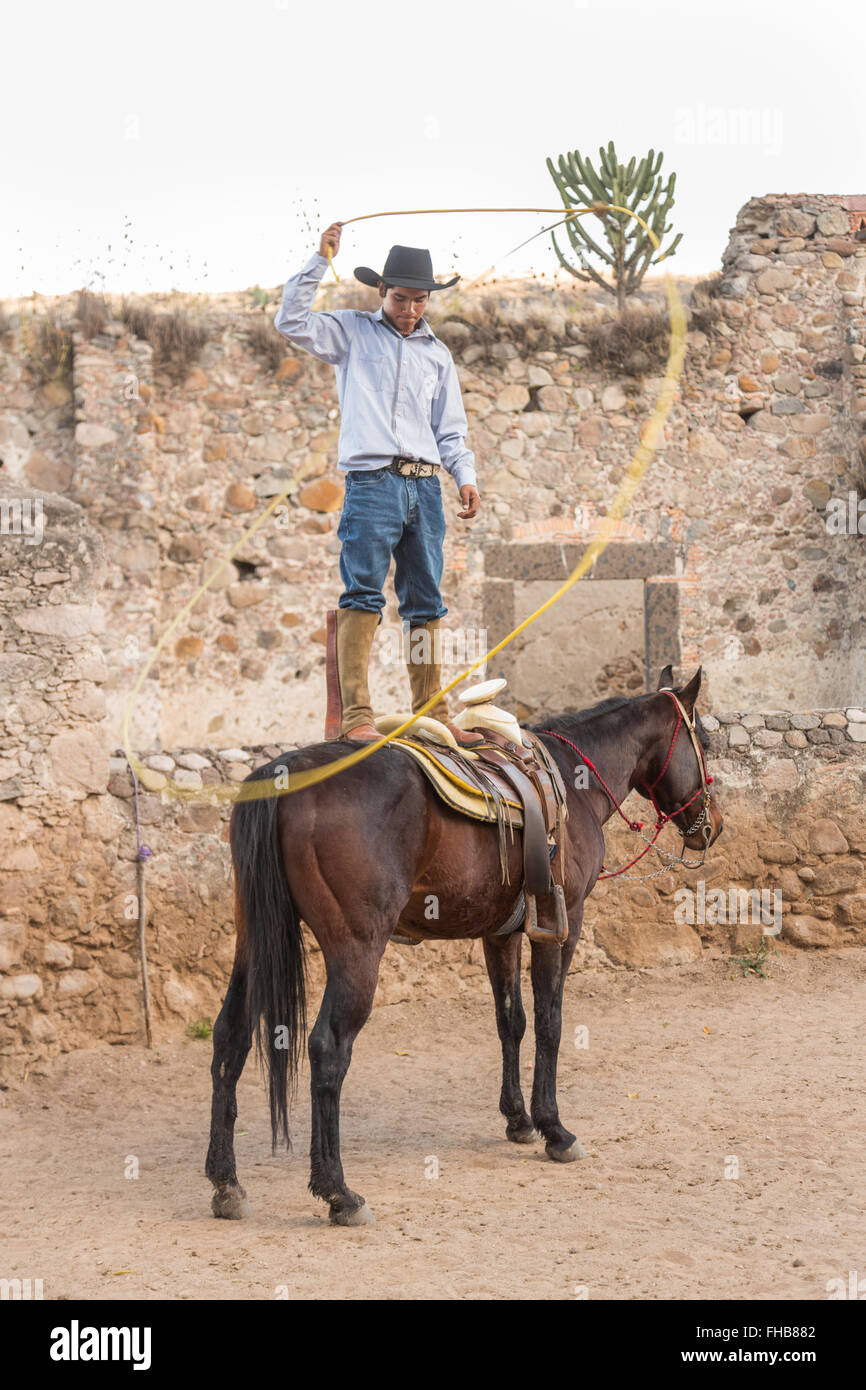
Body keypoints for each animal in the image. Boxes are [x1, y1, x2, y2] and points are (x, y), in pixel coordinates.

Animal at [205, 664, 723, 1226]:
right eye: (705, 740)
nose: (712, 826)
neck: (572, 780)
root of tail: (285, 772)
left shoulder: (500, 933)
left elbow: (511, 1021)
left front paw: (518, 1120)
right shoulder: (562, 926)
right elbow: (550, 1022)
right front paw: (554, 1129)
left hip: (253, 944)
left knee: (229, 1038)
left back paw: (226, 1182)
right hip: (357, 951)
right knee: (327, 1049)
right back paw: (338, 1191)